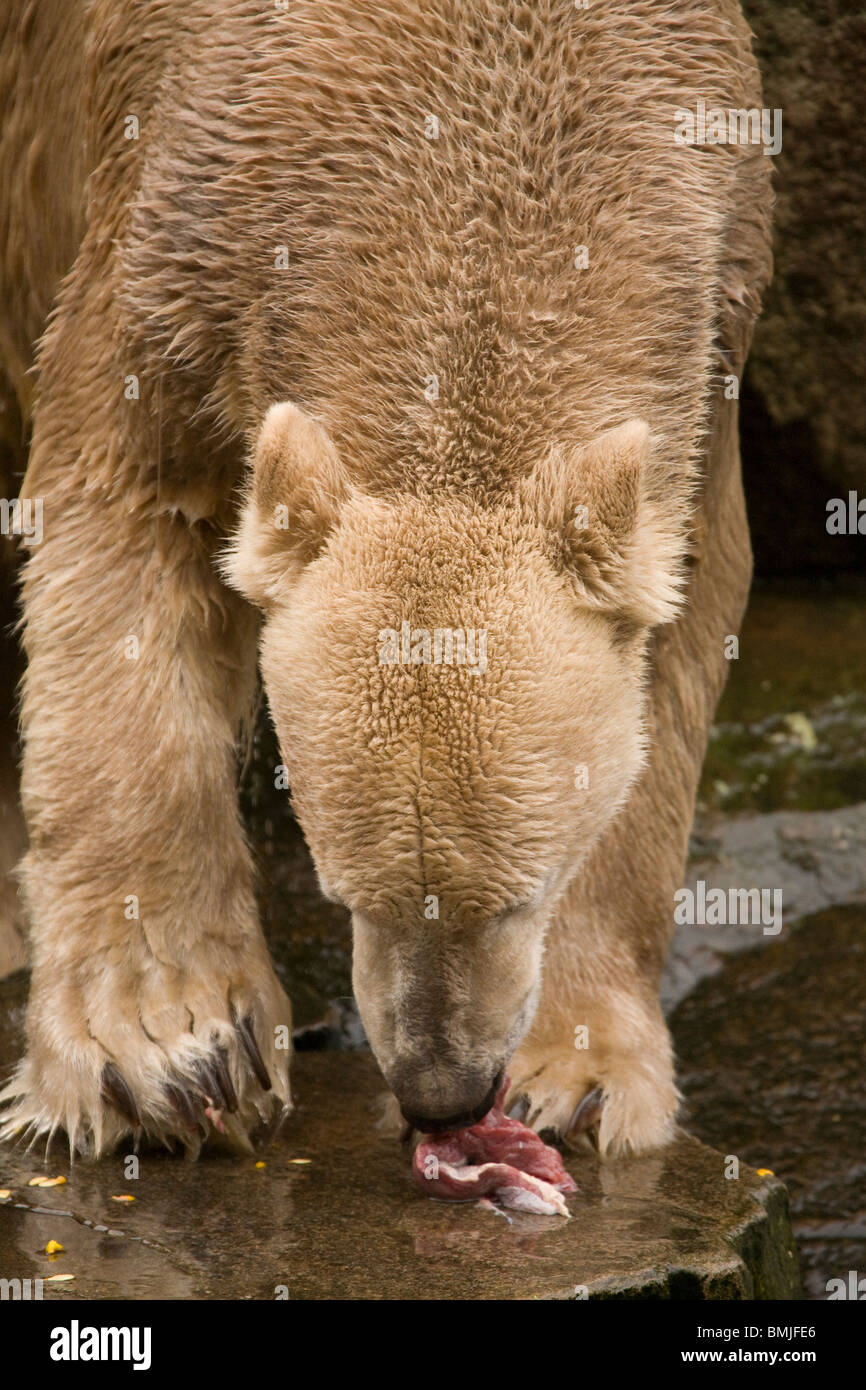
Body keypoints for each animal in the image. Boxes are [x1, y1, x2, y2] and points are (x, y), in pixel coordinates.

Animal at [0, 0, 772, 1158]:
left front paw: (578, 1072)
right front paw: (171, 1050)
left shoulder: (716, 309)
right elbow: (121, 524)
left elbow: (674, 631)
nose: (440, 1091)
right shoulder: (169, 246)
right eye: (345, 887)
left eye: (521, 895)